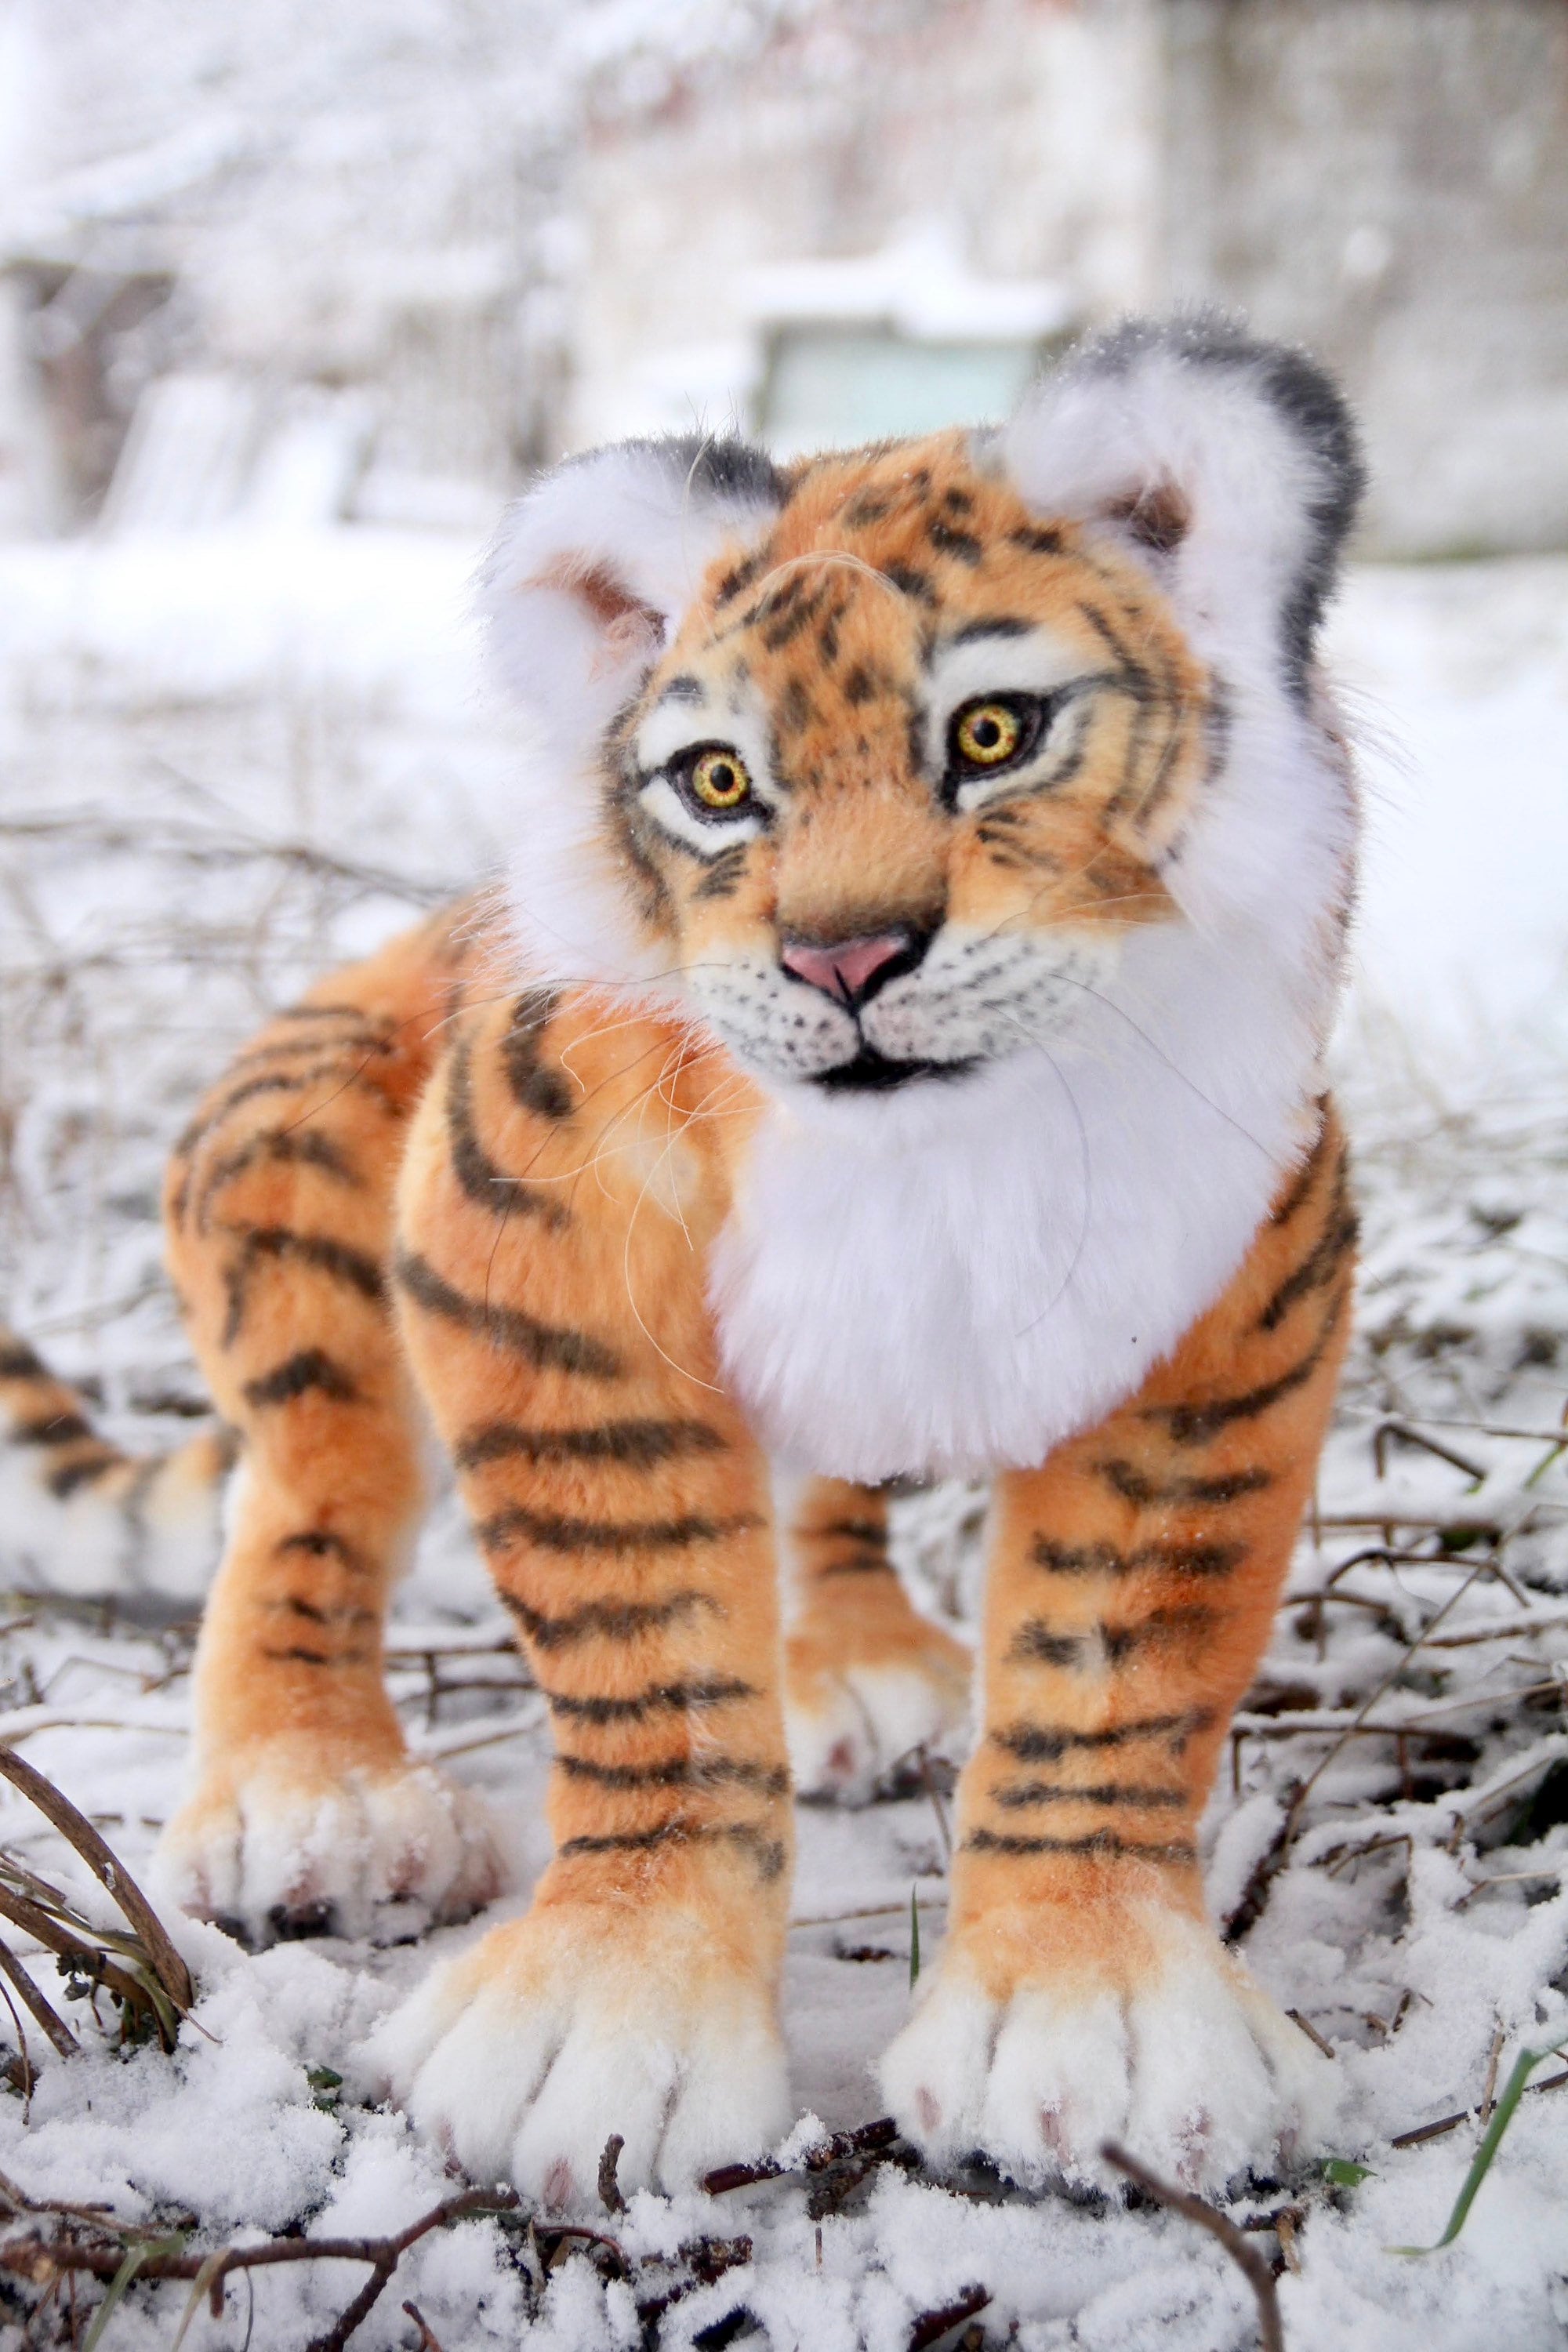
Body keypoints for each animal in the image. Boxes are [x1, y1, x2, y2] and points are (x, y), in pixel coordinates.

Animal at [0, 314, 1364, 2208]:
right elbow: (643, 1633)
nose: (845, 957)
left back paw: (856, 1667)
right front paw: (604, 2034)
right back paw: (317, 1811)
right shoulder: (525, 1248)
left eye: (991, 734)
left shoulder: (1234, 1281)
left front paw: (1095, 2028)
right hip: (300, 1188)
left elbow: (1122, 1658)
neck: (930, 1157)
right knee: (309, 1501)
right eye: (721, 782)